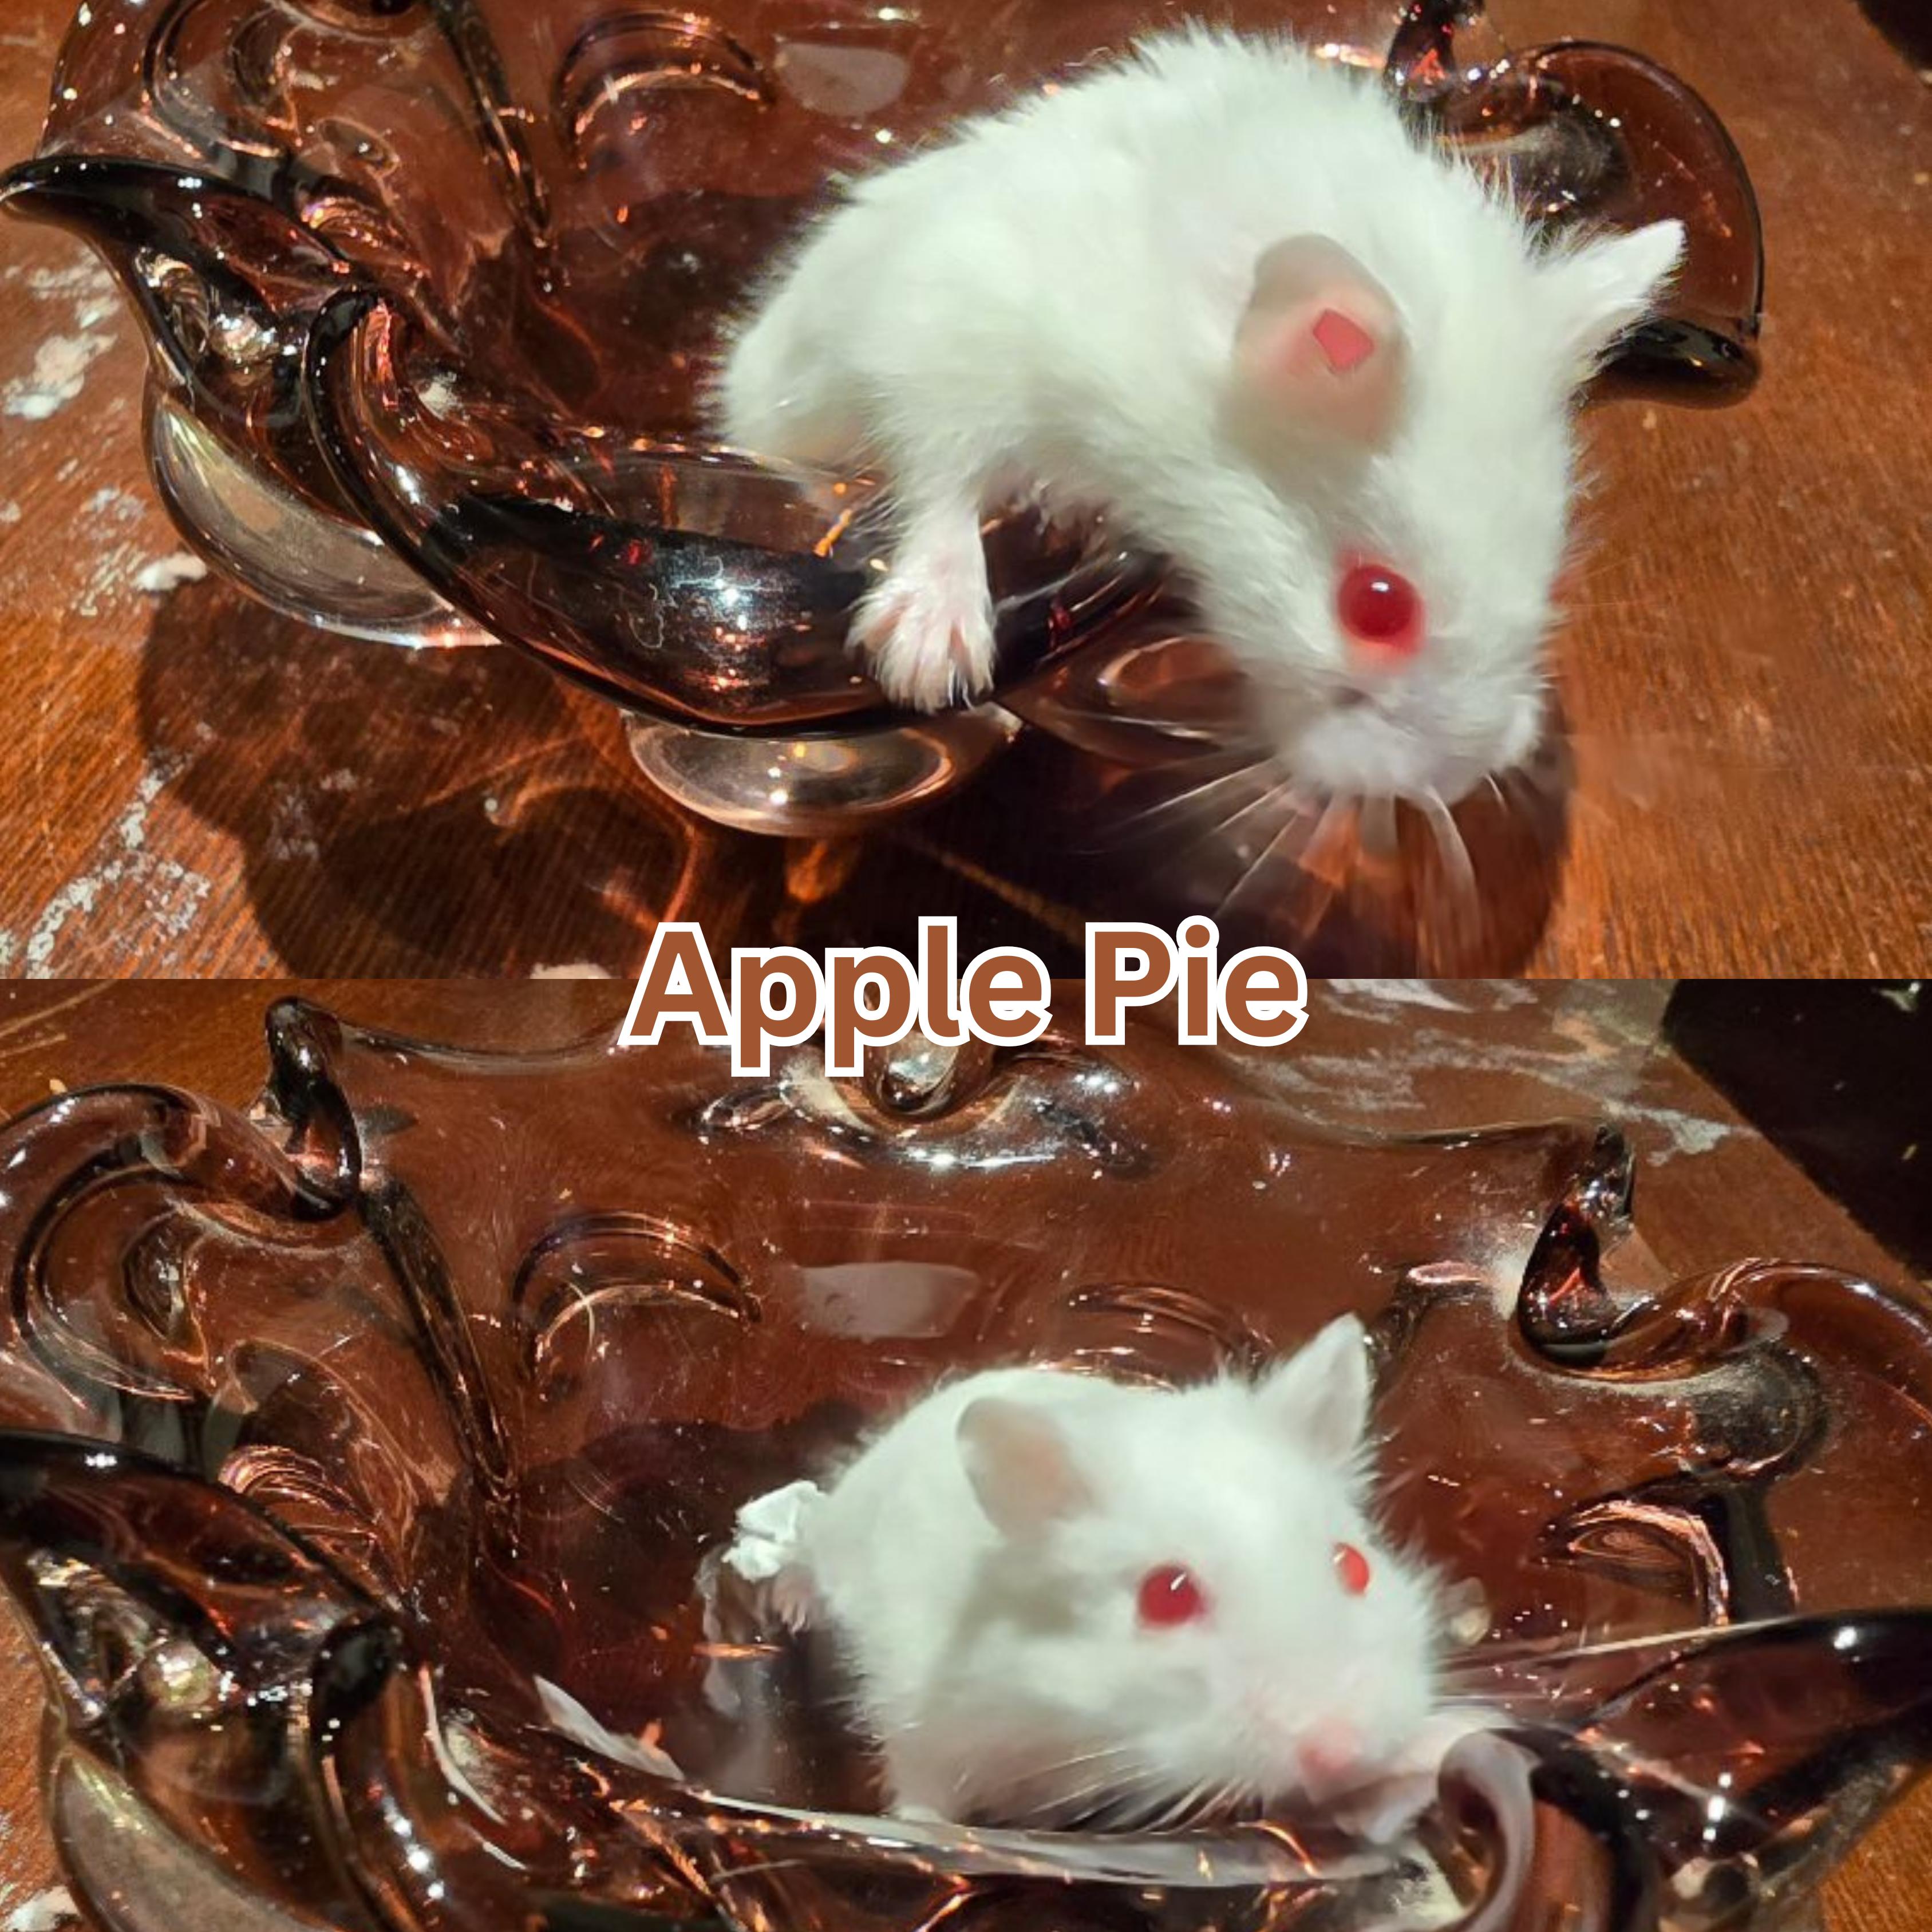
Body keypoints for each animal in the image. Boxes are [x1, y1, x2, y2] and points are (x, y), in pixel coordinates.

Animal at [715, 27, 1684, 806]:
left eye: (1548, 572)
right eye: (1375, 605)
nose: (1452, 784)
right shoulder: (946, 339)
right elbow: (940, 484)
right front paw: (928, 667)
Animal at [723, 1315, 1474, 1837]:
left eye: (1354, 1565)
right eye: (1166, 1597)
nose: (1344, 1750)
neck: (1081, 1732)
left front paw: (1432, 1752)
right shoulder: (917, 1711)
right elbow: (920, 1785)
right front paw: (923, 1829)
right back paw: (789, 1602)